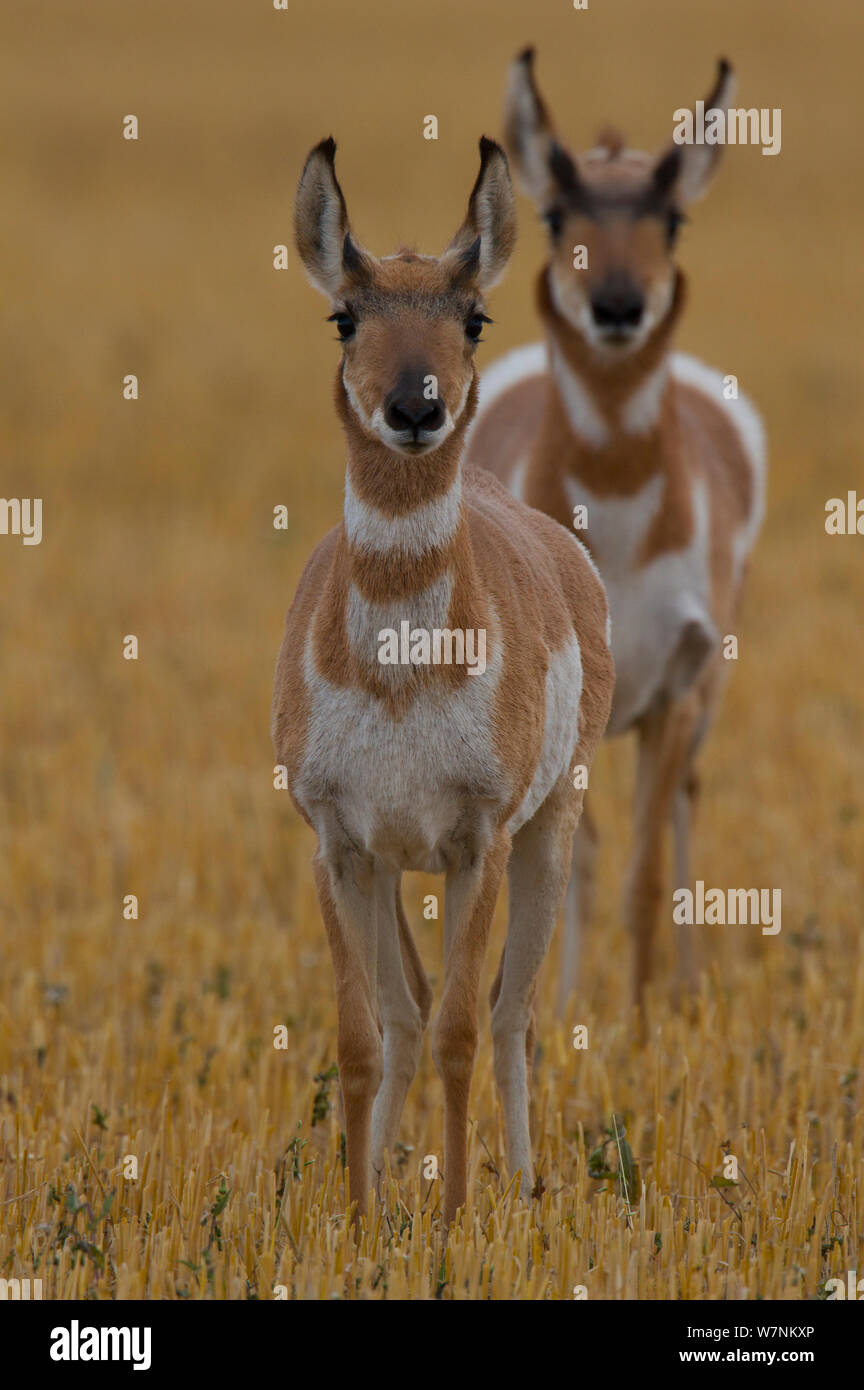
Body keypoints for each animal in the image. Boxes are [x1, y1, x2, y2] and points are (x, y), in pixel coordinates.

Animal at [272, 136, 614, 1224]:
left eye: (474, 317)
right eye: (345, 314)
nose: (416, 407)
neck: (399, 679)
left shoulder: (478, 846)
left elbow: (468, 1024)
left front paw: (457, 1218)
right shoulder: (339, 848)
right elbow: (362, 1035)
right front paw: (358, 1218)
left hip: (549, 835)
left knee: (512, 1016)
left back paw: (524, 1185)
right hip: (391, 871)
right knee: (407, 1014)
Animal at [466, 52, 766, 1012]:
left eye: (671, 218)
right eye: (557, 214)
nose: (618, 305)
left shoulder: (675, 690)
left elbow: (641, 872)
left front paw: (640, 1024)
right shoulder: (574, 713)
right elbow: (583, 865)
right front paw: (566, 1015)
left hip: (705, 699)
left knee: (683, 809)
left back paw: (685, 988)